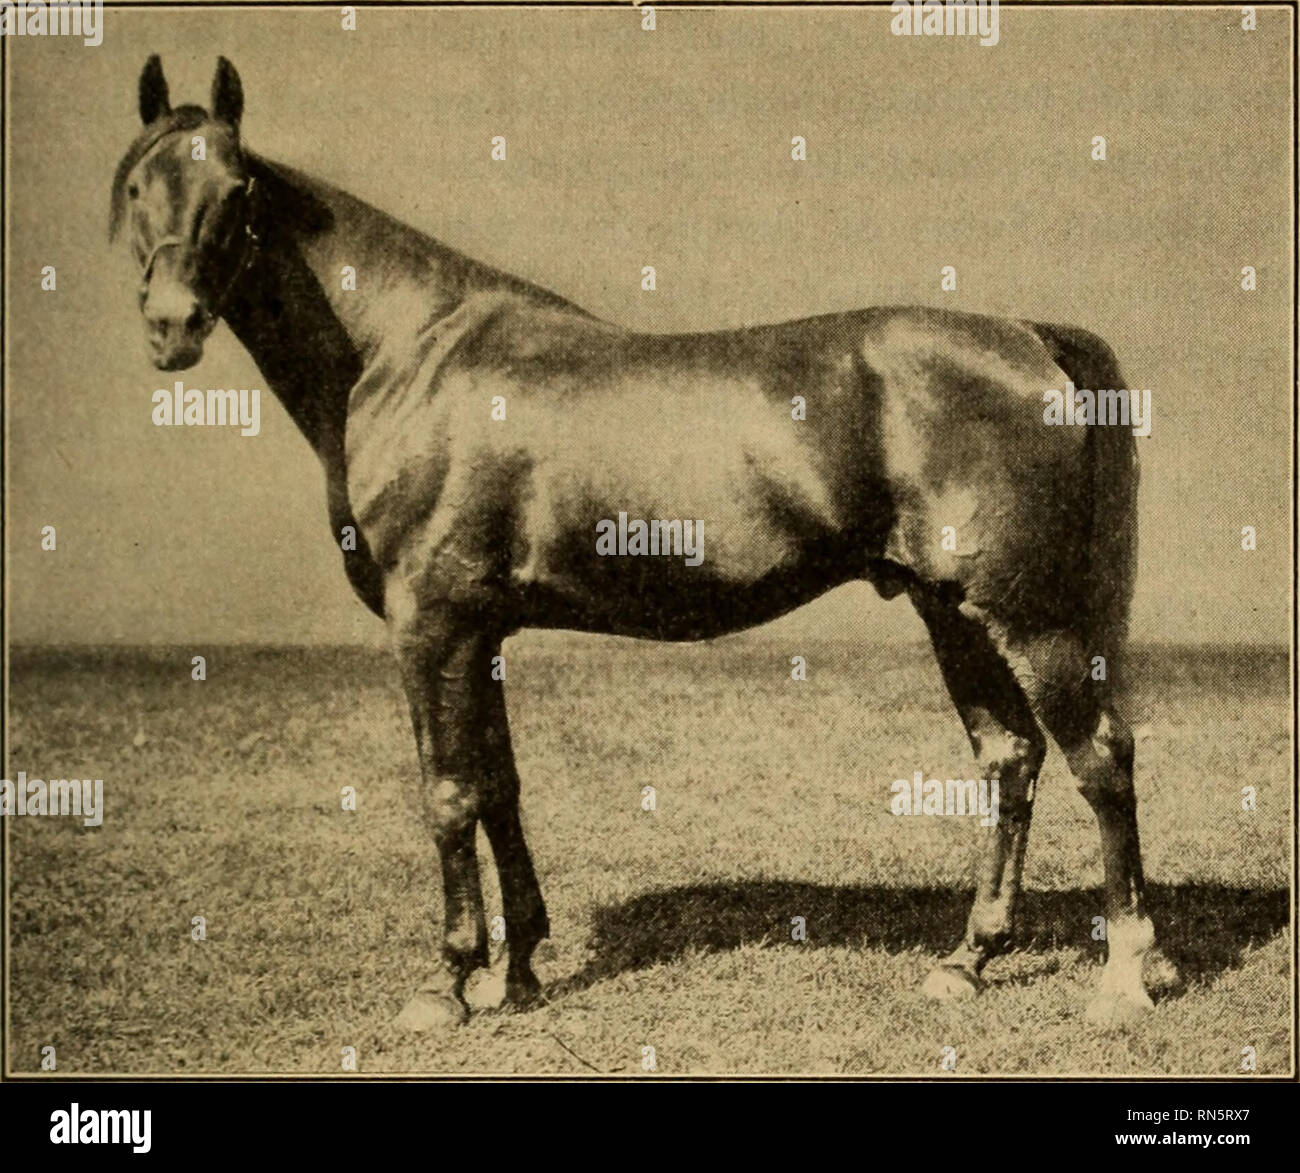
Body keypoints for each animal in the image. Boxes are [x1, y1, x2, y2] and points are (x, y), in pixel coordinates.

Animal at [112, 56, 1178, 1032]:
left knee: (1100, 757)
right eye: (134, 183)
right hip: (950, 608)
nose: (170, 326)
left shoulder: (431, 623)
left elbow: (449, 793)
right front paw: (517, 972)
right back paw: (968, 960)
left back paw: (1125, 975)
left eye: (237, 189)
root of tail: (1028, 337)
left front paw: (446, 984)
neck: (409, 355)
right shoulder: (480, 632)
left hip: (1030, 616)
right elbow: (501, 787)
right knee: (1011, 757)